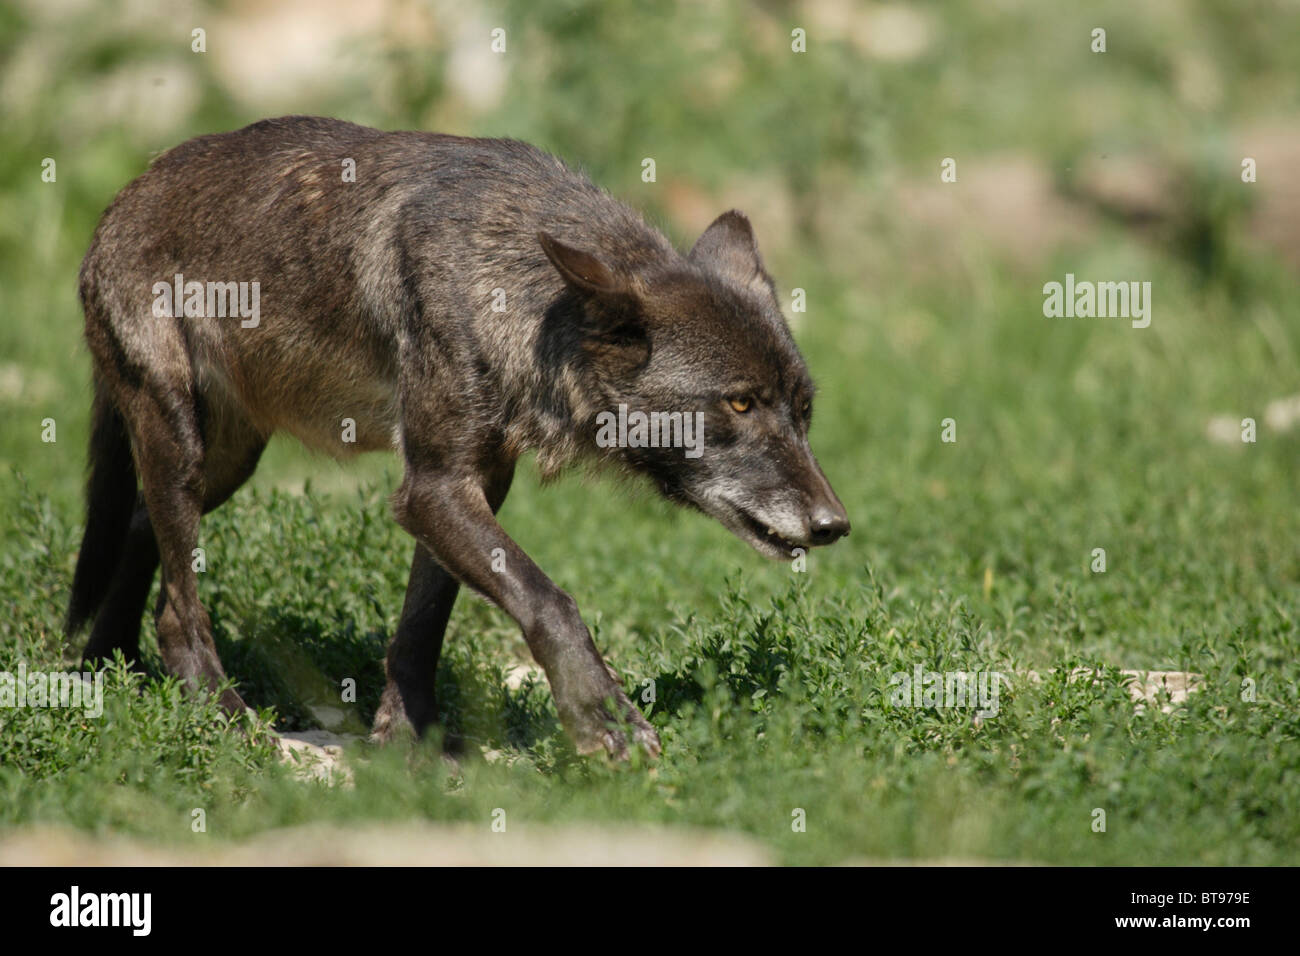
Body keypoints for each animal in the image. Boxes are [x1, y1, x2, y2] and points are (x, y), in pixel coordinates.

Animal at [66, 116, 850, 758]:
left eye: (804, 411)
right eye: (740, 403)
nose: (834, 525)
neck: (519, 290)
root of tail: (124, 194)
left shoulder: (472, 484)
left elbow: (424, 623)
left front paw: (406, 739)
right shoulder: (434, 488)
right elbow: (551, 601)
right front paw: (605, 721)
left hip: (226, 464)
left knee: (140, 532)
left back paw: (105, 669)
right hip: (180, 440)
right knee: (177, 604)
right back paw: (222, 716)